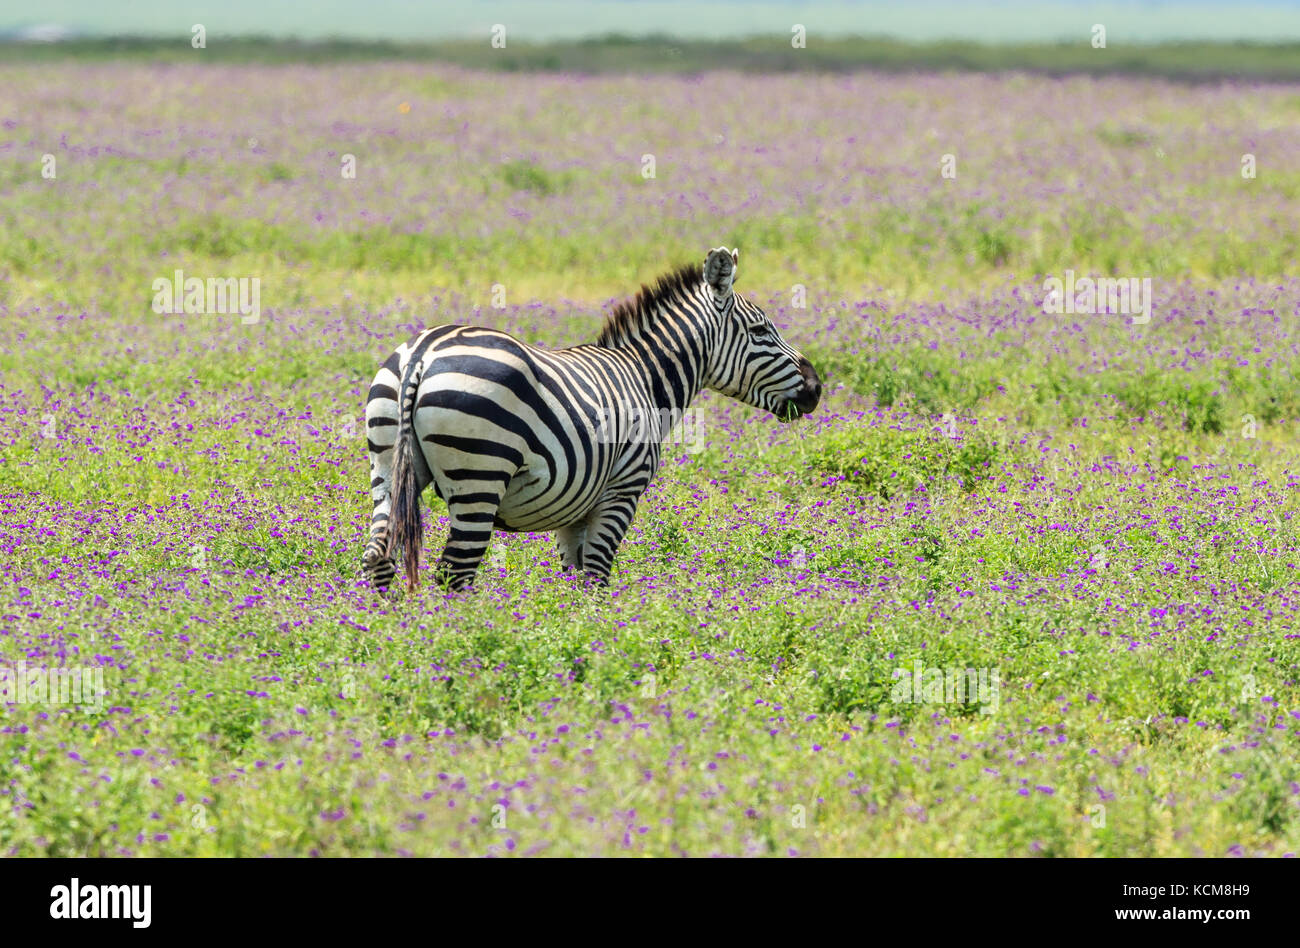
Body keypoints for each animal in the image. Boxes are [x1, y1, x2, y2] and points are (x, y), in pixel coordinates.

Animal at [360, 246, 822, 593]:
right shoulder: (621, 491)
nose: (816, 388)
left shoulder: (573, 507)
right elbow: (597, 577)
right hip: (480, 474)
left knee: (378, 558)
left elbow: (574, 577)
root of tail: (423, 355)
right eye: (760, 331)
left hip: (387, 467)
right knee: (455, 572)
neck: (644, 377)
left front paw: (575, 637)